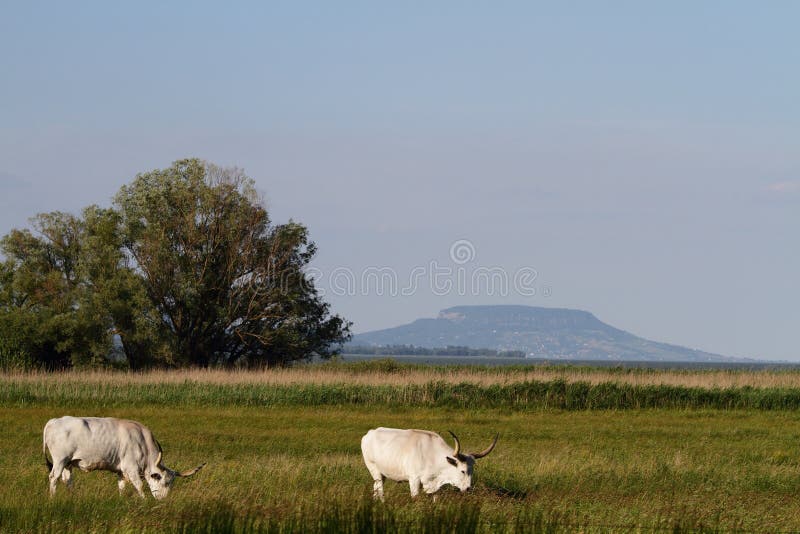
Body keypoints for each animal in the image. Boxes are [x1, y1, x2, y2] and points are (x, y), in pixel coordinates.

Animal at [43, 416, 205, 499]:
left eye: (171, 484)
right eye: (164, 482)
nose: (163, 500)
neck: (143, 443)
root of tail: (53, 421)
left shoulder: (121, 471)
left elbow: (121, 486)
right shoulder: (131, 469)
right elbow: (139, 486)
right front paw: (144, 501)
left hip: (68, 463)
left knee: (67, 480)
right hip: (60, 460)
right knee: (54, 477)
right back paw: (52, 498)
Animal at [361, 427, 498, 500]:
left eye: (472, 470)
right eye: (462, 470)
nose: (468, 488)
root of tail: (369, 433)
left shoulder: (433, 485)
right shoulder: (414, 480)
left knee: (375, 488)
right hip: (375, 471)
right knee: (380, 489)